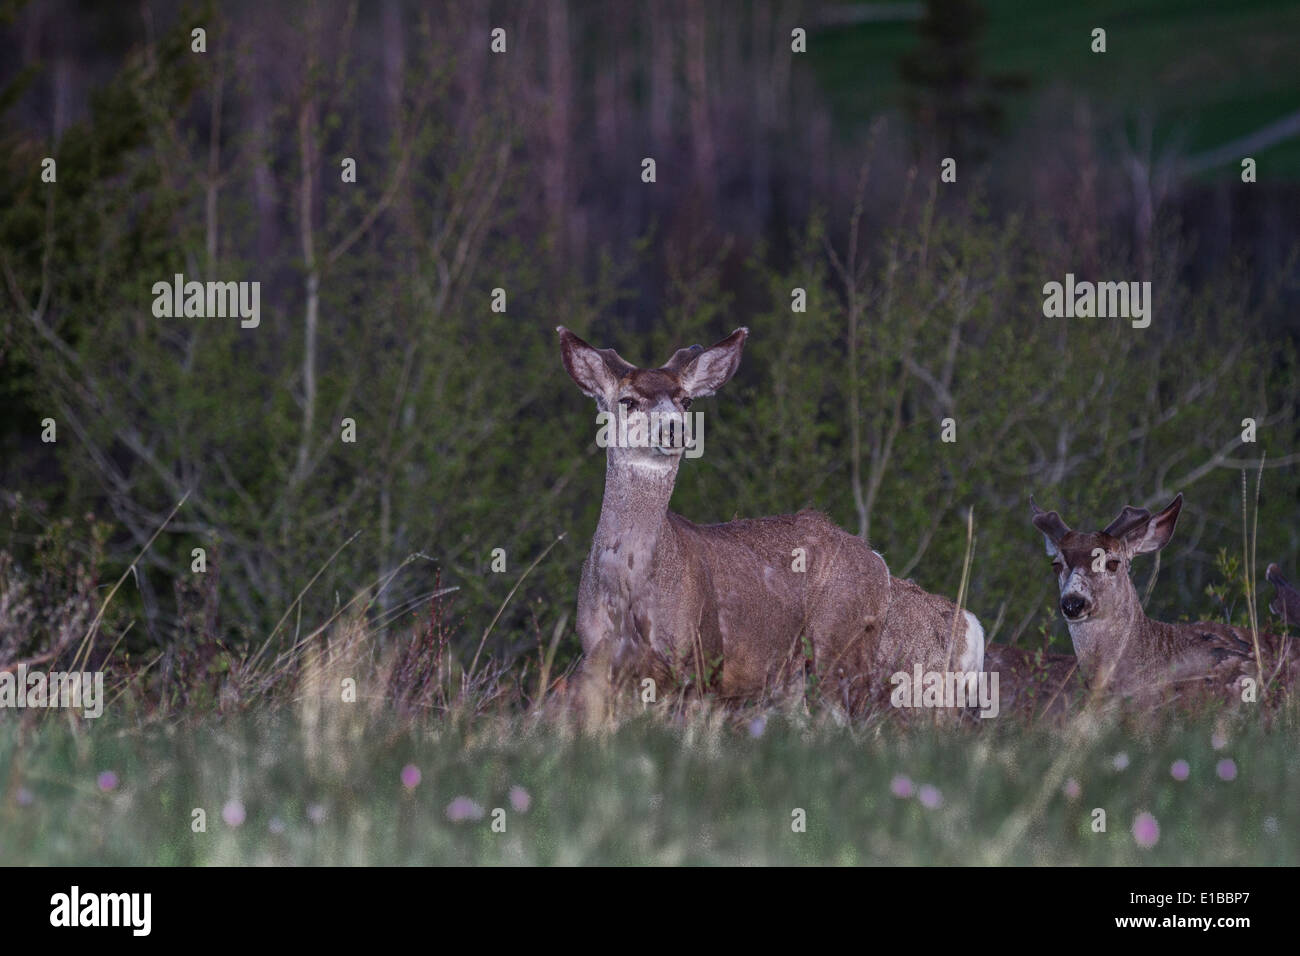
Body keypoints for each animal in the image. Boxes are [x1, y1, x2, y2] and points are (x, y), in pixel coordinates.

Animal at [557, 325, 984, 719]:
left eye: (685, 399)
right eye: (627, 400)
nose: (674, 429)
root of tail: (878, 563)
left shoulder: (701, 659)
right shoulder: (599, 660)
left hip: (841, 650)